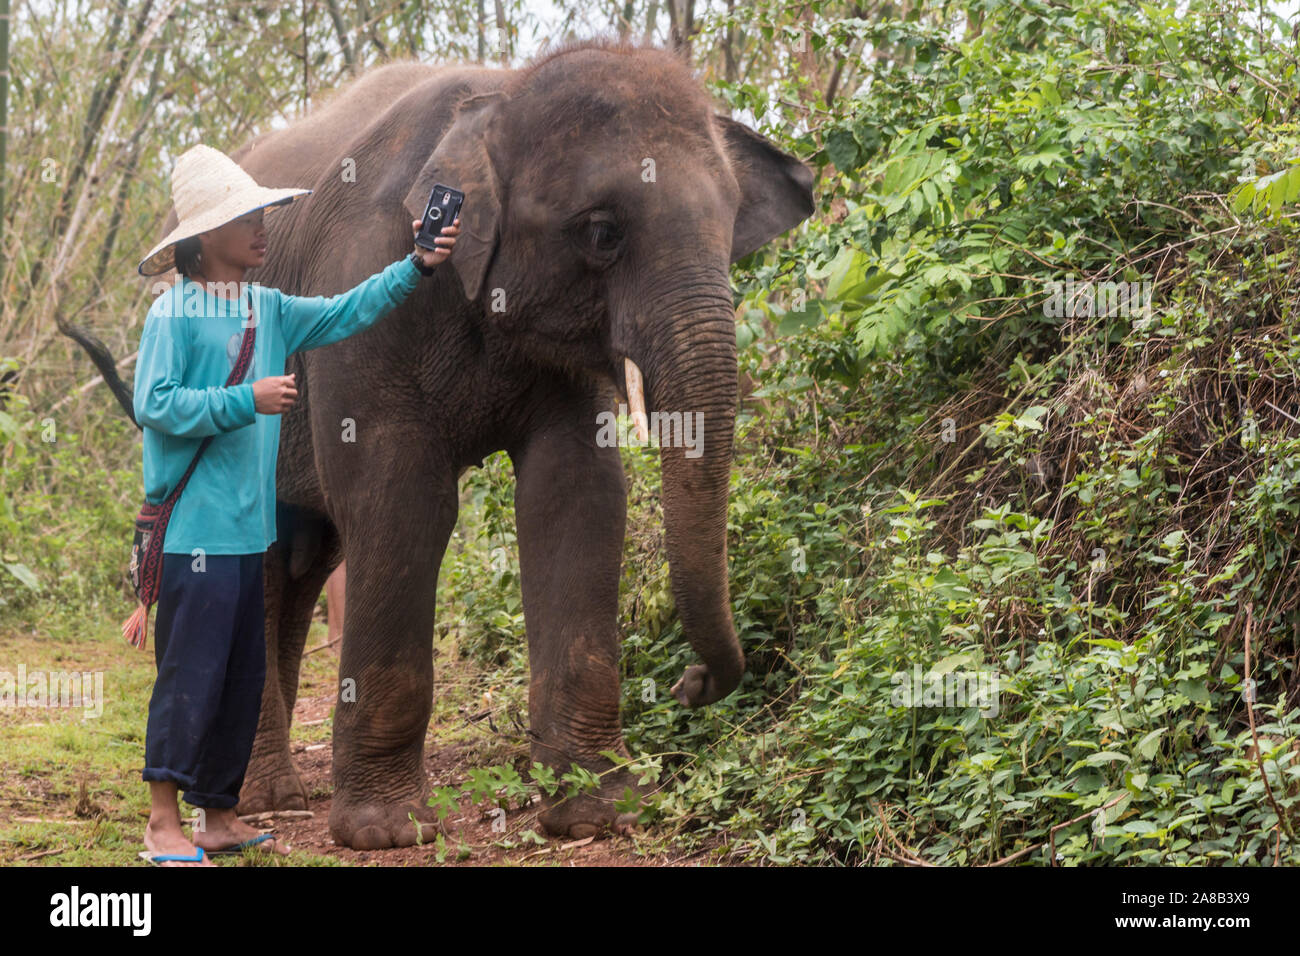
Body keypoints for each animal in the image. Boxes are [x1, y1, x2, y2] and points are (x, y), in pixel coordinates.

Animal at [142, 38, 814, 849]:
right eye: (602, 232)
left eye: (733, 226)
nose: (691, 685)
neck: (504, 93)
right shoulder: (363, 296)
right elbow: (403, 504)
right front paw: (388, 831)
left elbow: (577, 496)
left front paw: (599, 812)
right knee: (264, 563)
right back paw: (264, 804)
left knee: (302, 562)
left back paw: (275, 798)